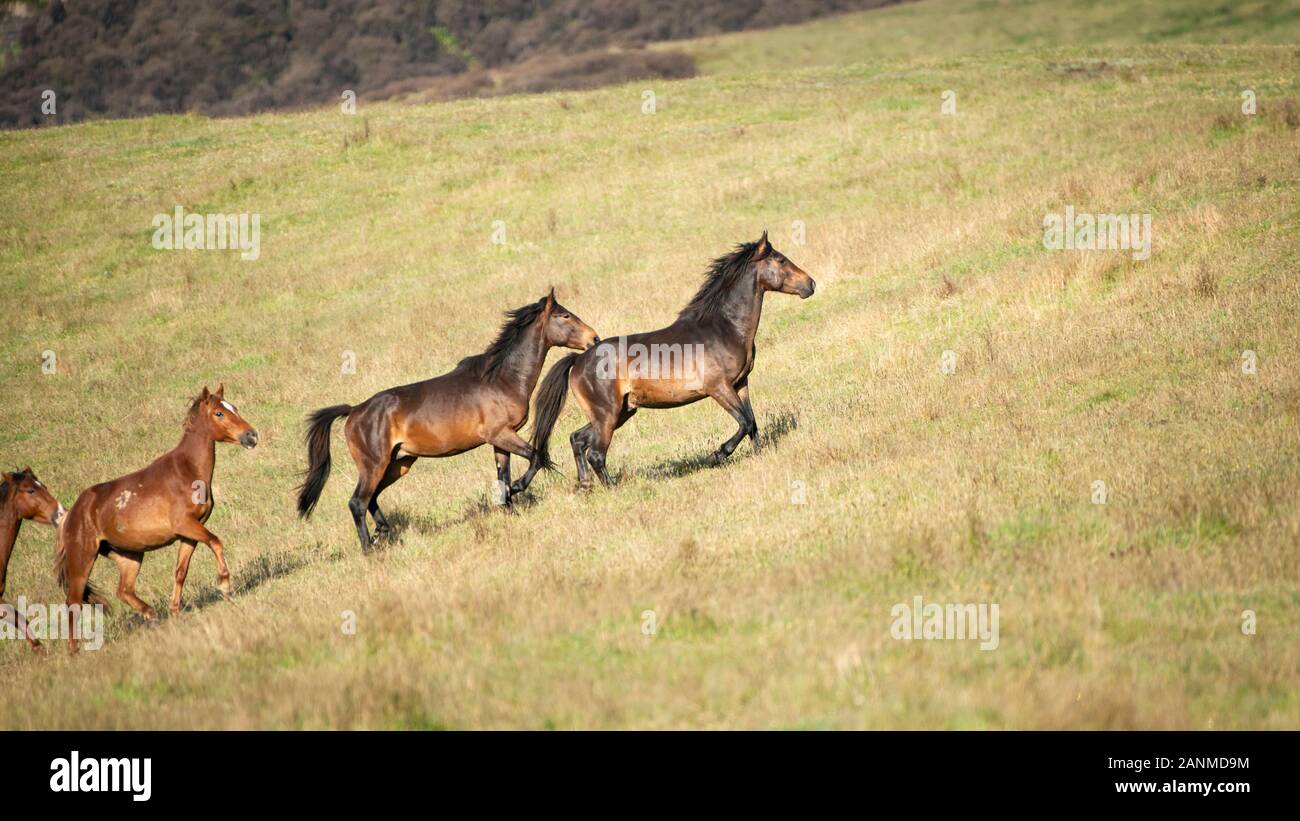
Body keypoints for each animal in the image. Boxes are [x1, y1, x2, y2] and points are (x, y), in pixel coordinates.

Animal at [55, 385, 258, 654]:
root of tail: (70, 514)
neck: (187, 472)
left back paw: (152, 615)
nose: (251, 436)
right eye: (219, 413)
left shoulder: (189, 534)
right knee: (74, 602)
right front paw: (225, 586)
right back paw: (74, 651)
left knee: (123, 591)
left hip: (129, 556)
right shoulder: (187, 526)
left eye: (234, 407)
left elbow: (180, 572)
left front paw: (175, 612)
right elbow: (216, 542)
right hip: (83, 559)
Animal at [295, 289, 599, 553]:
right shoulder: (501, 434)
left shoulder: (501, 440)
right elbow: (535, 457)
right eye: (564, 316)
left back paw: (383, 532)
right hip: (375, 464)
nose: (594, 338)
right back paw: (369, 548)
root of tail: (354, 411)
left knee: (372, 497)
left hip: (399, 462)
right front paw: (517, 489)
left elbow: (502, 476)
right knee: (358, 502)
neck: (501, 379)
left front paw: (510, 509)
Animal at [525, 232, 815, 489]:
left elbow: (752, 422)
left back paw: (585, 486)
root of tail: (578, 360)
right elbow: (743, 422)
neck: (723, 328)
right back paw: (613, 489)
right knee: (595, 453)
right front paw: (717, 455)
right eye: (781, 260)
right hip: (608, 414)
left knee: (577, 439)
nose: (810, 284)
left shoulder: (741, 383)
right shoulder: (718, 388)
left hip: (620, 411)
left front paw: (760, 456)